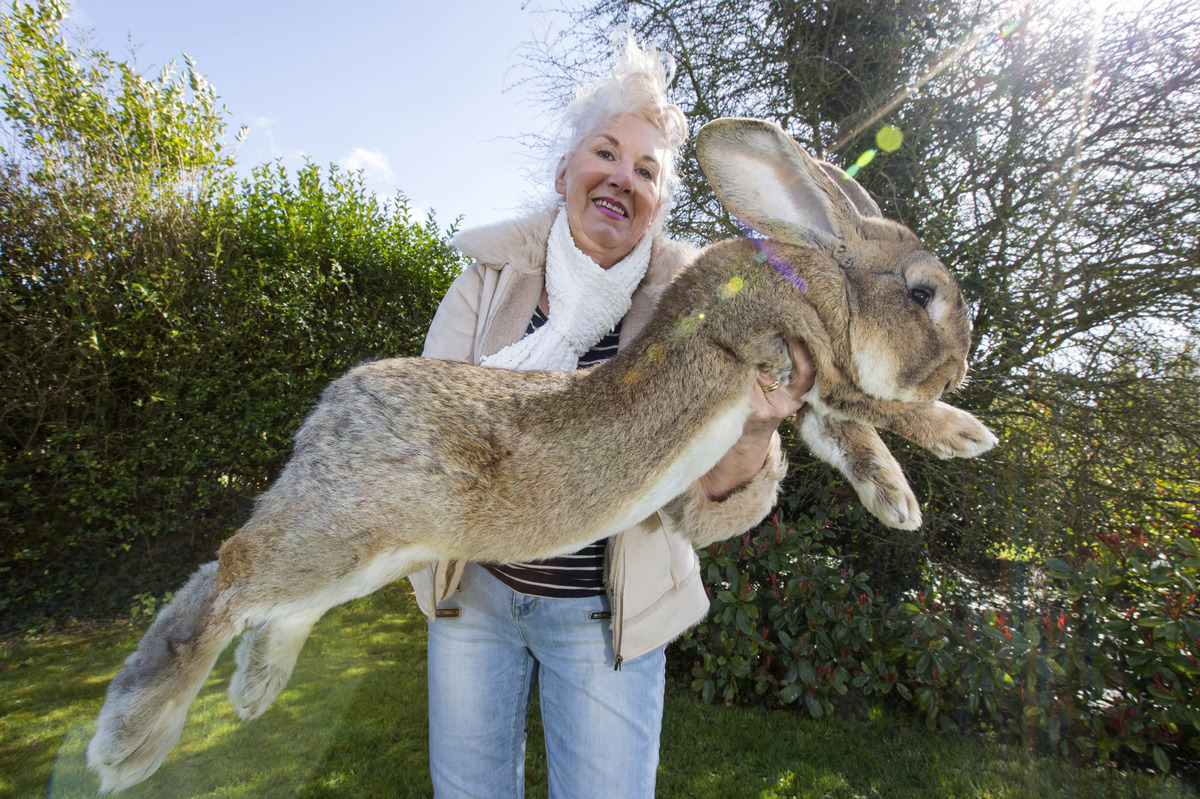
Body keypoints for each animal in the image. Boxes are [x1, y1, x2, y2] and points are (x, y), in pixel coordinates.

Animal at [86, 117, 996, 793]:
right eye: (922, 292)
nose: (961, 365)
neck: (814, 273)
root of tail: (329, 415)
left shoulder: (804, 395)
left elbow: (850, 437)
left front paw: (898, 502)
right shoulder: (794, 354)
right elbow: (874, 405)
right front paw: (963, 433)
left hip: (372, 551)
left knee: (256, 595)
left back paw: (247, 689)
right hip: (346, 528)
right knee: (231, 574)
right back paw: (131, 739)